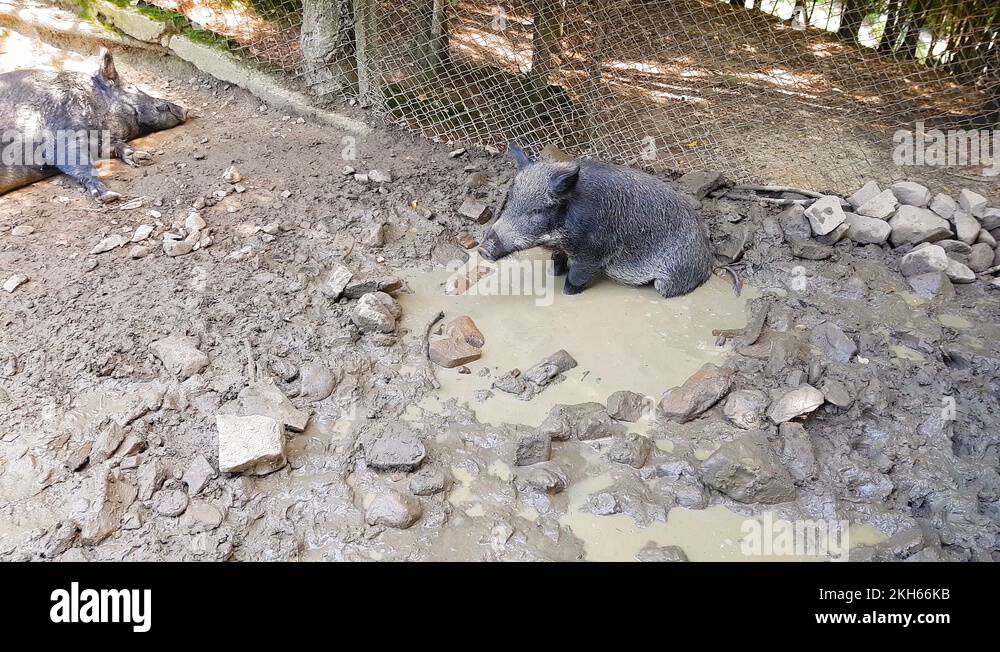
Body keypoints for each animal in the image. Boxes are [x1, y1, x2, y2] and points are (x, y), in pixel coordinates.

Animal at [0, 49, 188, 202]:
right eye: (132, 88)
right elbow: (75, 160)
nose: (185, 109)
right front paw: (110, 196)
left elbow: (114, 146)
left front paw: (142, 157)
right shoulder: (61, 132)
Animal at [478, 144, 714, 297]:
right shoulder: (563, 248)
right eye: (510, 200)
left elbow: (577, 275)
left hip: (673, 277)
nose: (482, 249)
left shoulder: (593, 250)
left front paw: (567, 292)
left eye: (537, 210)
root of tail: (707, 261)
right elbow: (557, 261)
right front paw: (552, 273)